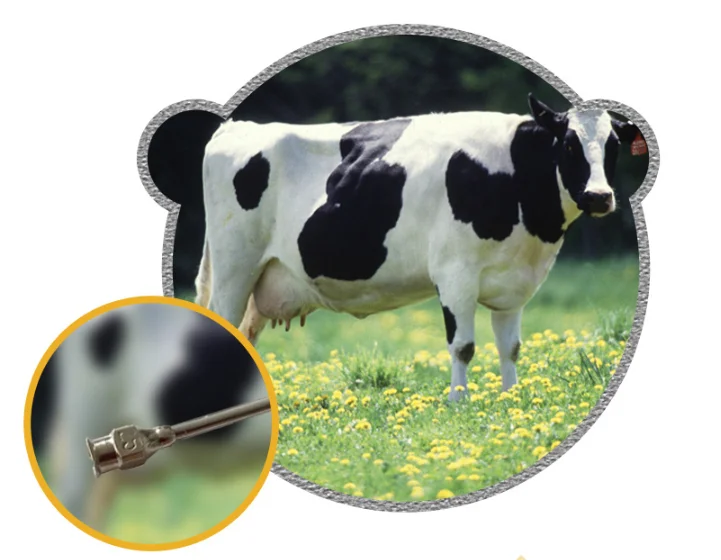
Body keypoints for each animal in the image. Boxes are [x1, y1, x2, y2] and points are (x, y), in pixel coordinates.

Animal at [195, 94, 642, 402]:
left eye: (614, 146)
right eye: (568, 145)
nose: (599, 197)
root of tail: (237, 127)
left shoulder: (513, 284)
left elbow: (510, 347)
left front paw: (510, 398)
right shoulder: (455, 273)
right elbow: (463, 346)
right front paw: (459, 403)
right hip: (235, 269)